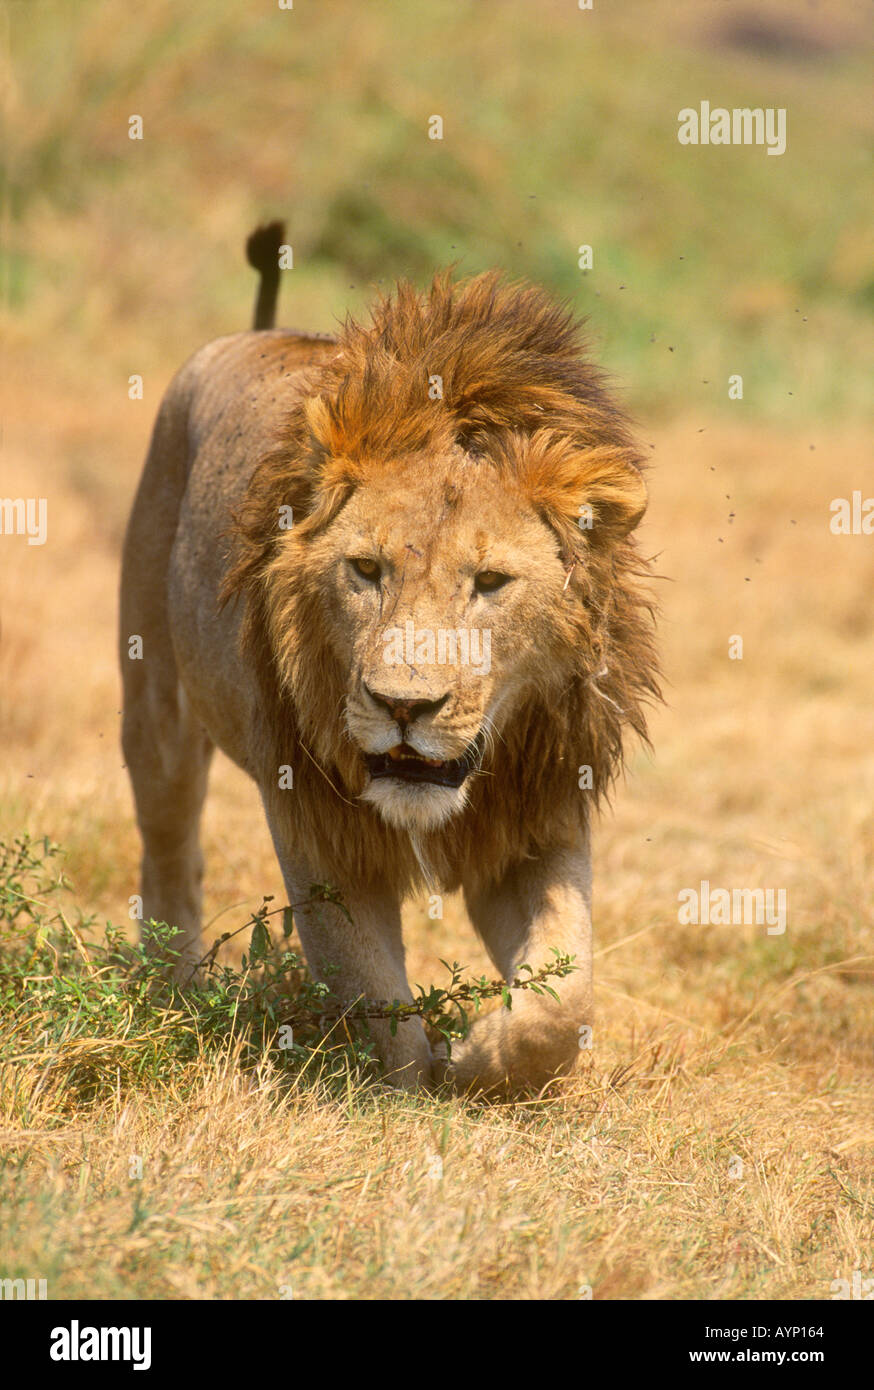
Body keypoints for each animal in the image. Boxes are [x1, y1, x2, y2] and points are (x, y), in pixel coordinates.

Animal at [119, 221, 659, 1094]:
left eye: (490, 583)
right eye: (366, 570)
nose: (405, 707)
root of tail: (255, 331)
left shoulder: (536, 816)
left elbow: (564, 990)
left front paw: (483, 1060)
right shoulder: (315, 825)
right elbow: (369, 983)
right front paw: (407, 1096)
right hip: (155, 704)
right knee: (169, 851)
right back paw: (172, 995)